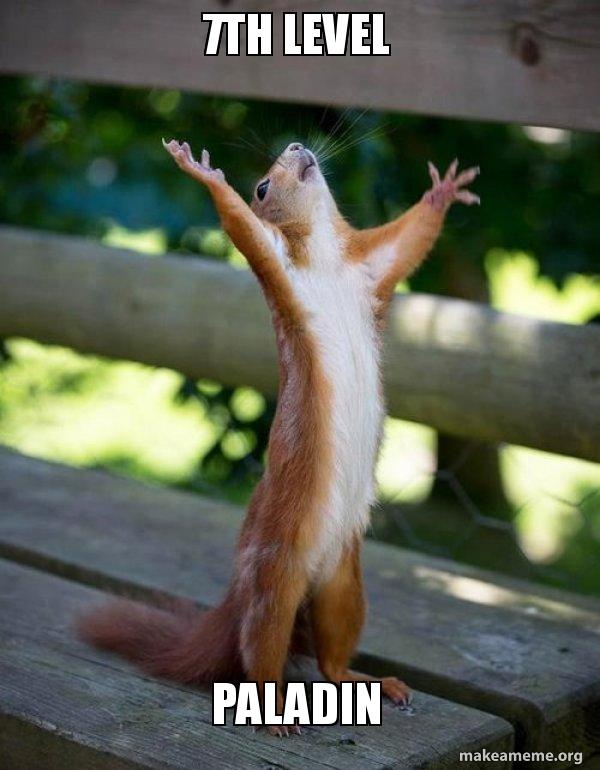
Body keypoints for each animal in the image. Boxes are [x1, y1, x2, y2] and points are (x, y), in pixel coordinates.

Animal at [79, 138, 479, 737]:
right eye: (262, 186)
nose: (296, 146)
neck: (327, 258)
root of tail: (239, 592)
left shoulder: (371, 267)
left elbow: (408, 241)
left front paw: (443, 191)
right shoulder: (278, 266)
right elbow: (242, 227)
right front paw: (204, 174)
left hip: (344, 584)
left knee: (332, 658)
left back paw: (370, 681)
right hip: (275, 577)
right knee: (260, 650)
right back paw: (274, 713)